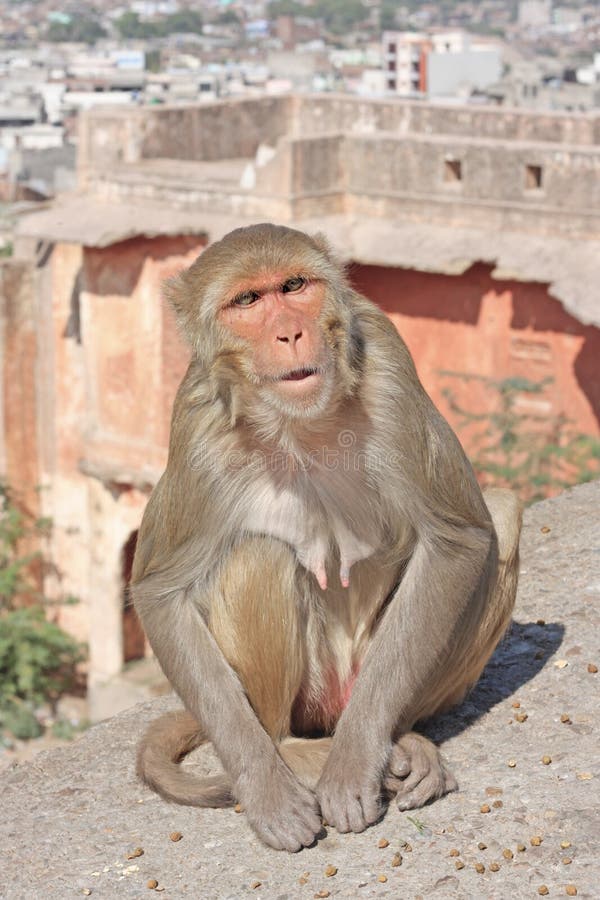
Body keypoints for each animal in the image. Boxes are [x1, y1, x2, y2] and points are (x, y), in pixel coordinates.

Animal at [130, 223, 522, 852]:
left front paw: (357, 759)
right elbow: (159, 591)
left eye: (294, 286)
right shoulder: (194, 420)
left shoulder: (388, 362)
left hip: (374, 679)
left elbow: (459, 537)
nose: (290, 332)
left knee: (503, 519)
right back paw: (290, 752)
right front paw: (264, 787)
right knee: (258, 553)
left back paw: (399, 742)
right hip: (306, 698)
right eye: (248, 301)